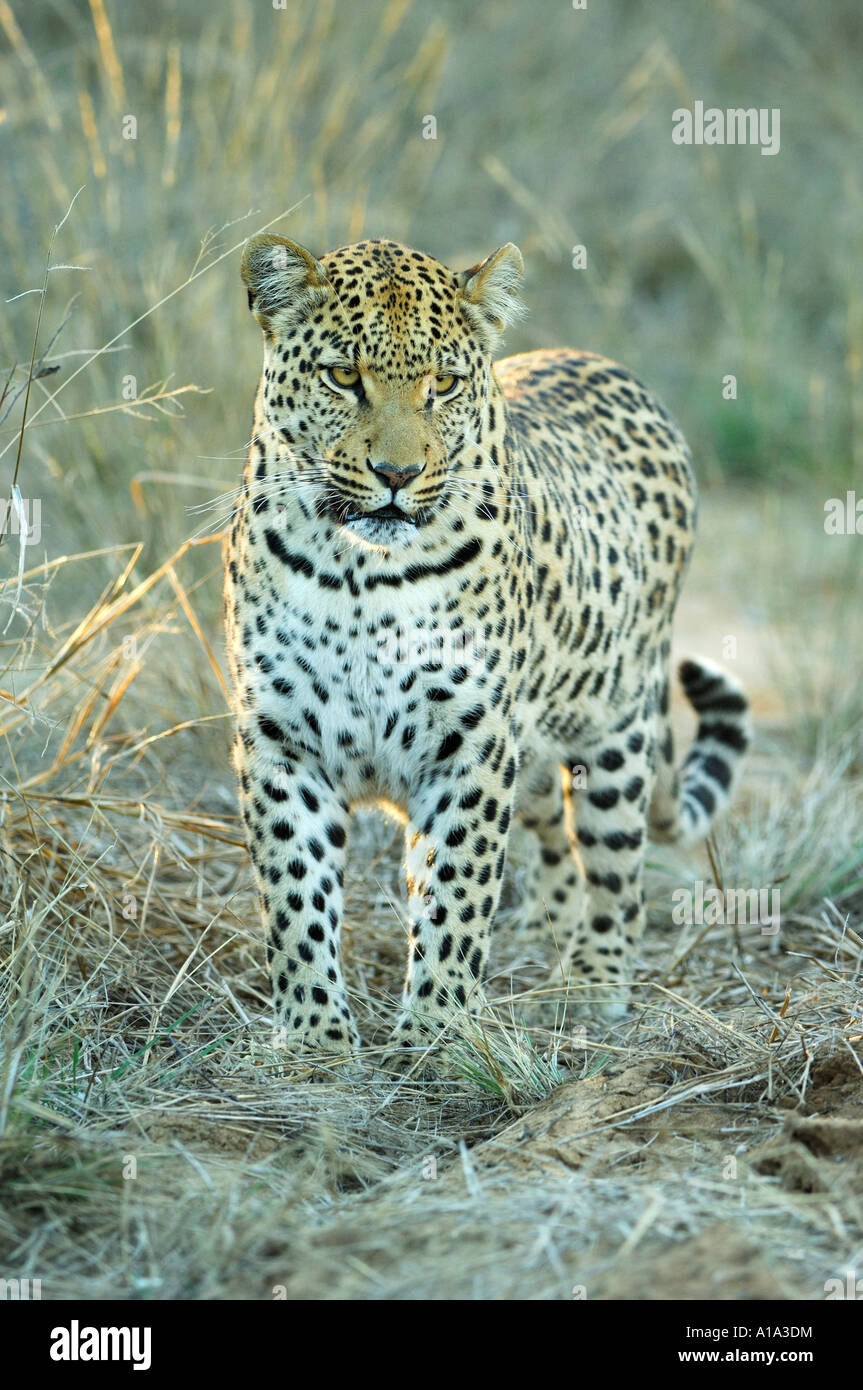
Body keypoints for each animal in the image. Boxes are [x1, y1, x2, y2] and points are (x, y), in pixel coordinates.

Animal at [223, 233, 751, 1067]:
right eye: (343, 375)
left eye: (441, 383)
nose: (397, 475)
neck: (358, 574)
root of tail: (602, 362)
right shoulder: (279, 741)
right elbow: (296, 896)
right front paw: (313, 1035)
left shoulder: (467, 745)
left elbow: (456, 895)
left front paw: (436, 1030)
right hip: (532, 755)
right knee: (554, 845)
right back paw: (547, 935)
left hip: (613, 735)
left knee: (617, 872)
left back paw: (588, 982)